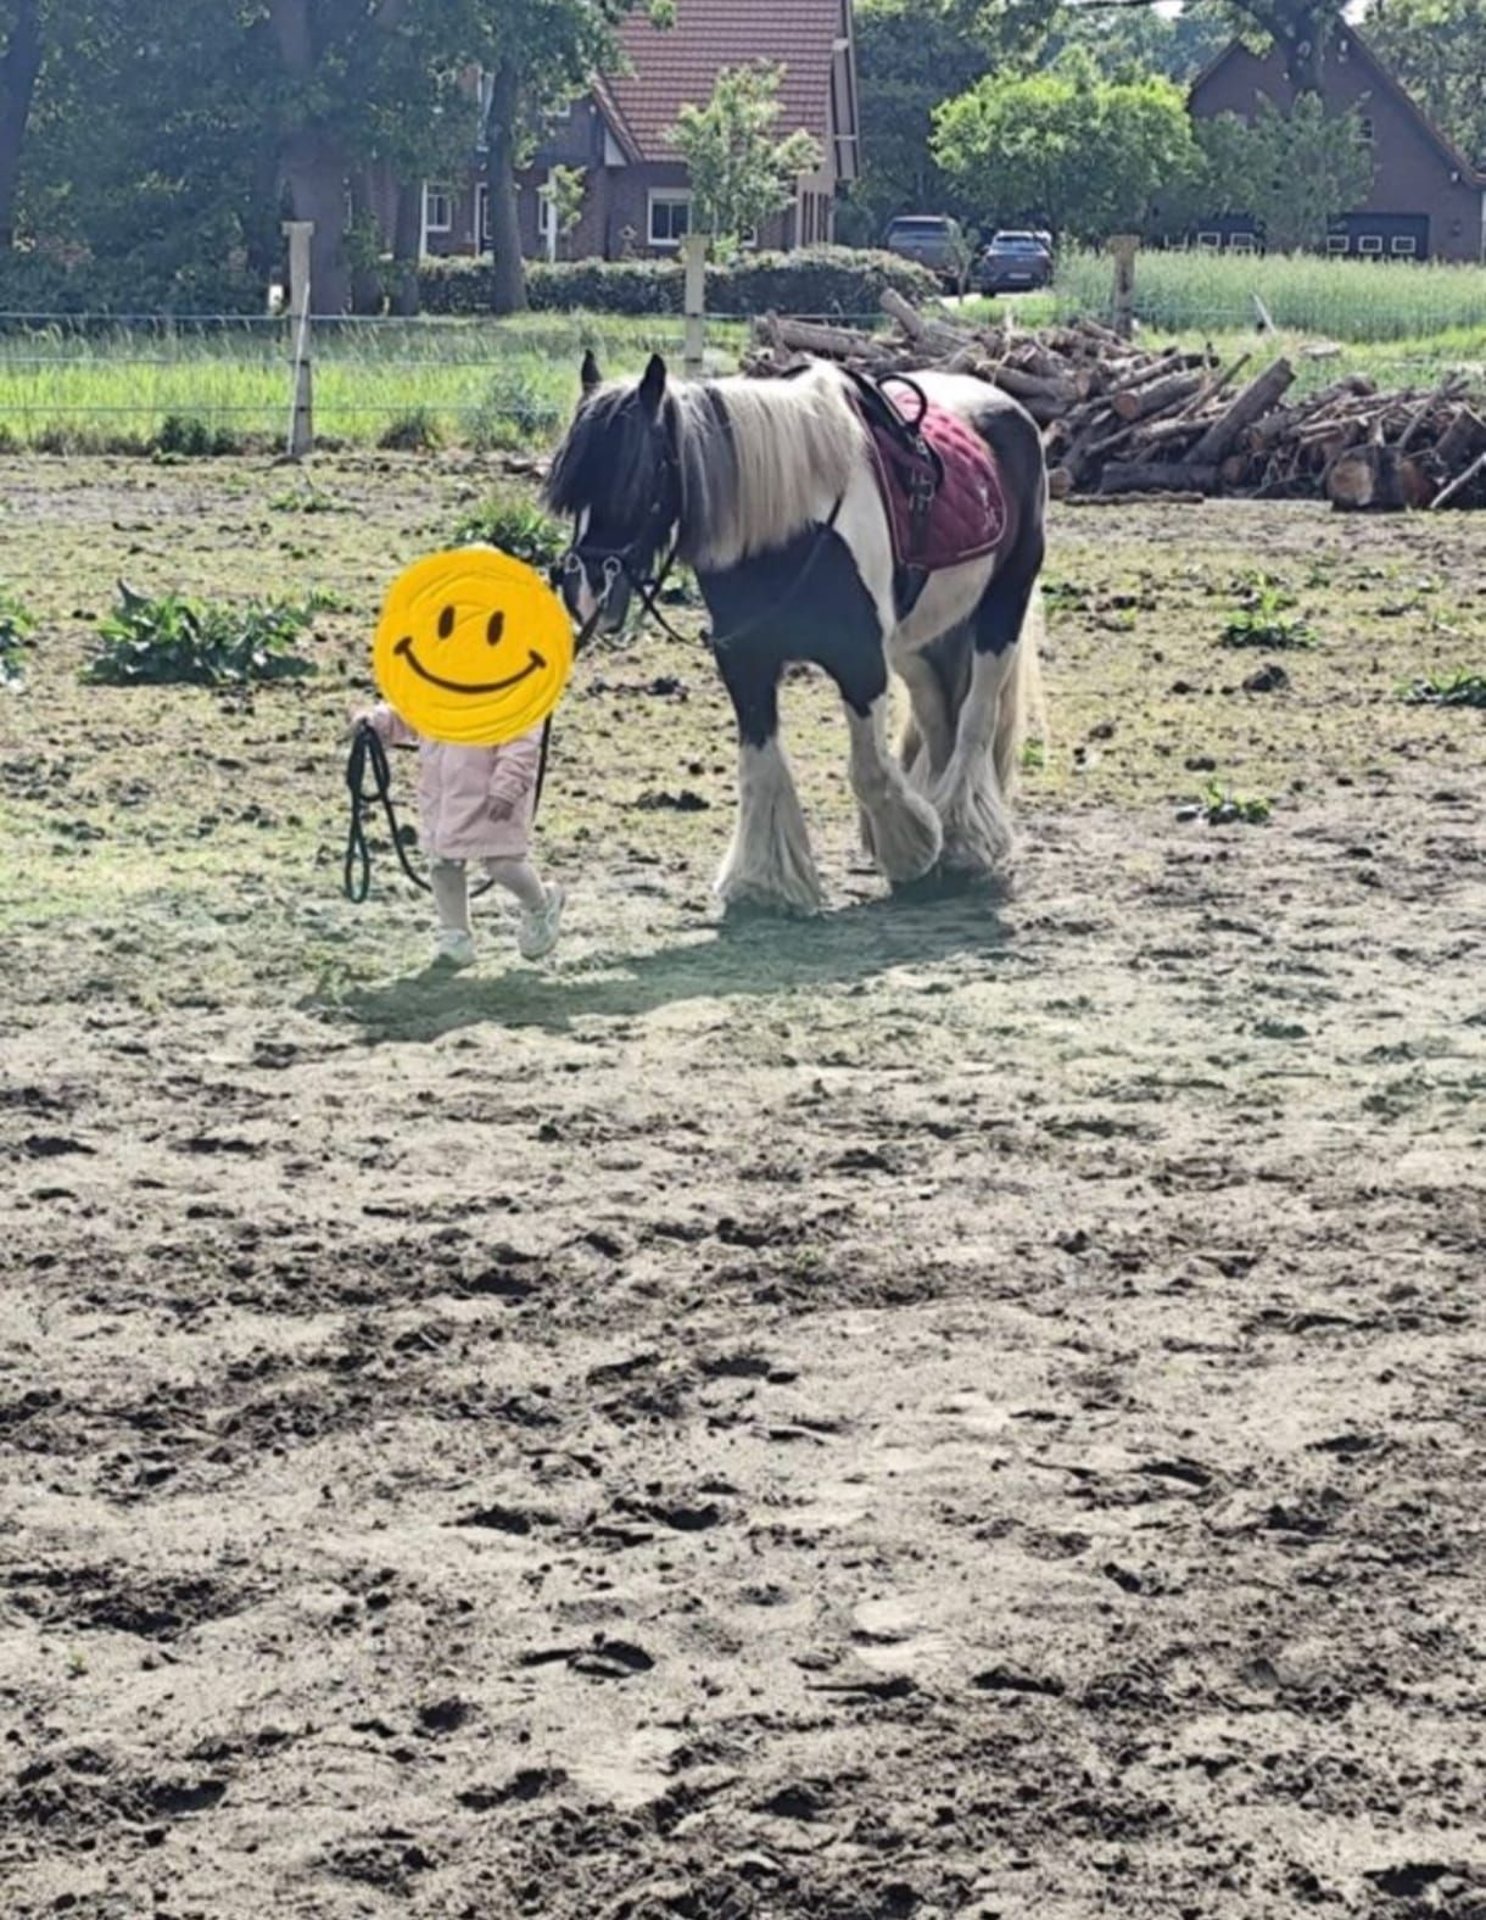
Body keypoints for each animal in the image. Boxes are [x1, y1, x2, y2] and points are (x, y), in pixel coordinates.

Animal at [545, 350, 1047, 916]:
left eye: (635, 478)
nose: (586, 591)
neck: (793, 528)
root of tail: (1005, 405)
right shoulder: (745, 664)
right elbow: (760, 766)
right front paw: (764, 882)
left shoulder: (860, 662)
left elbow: (869, 770)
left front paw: (911, 853)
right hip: (917, 639)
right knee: (939, 714)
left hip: (1002, 609)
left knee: (976, 717)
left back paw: (961, 838)